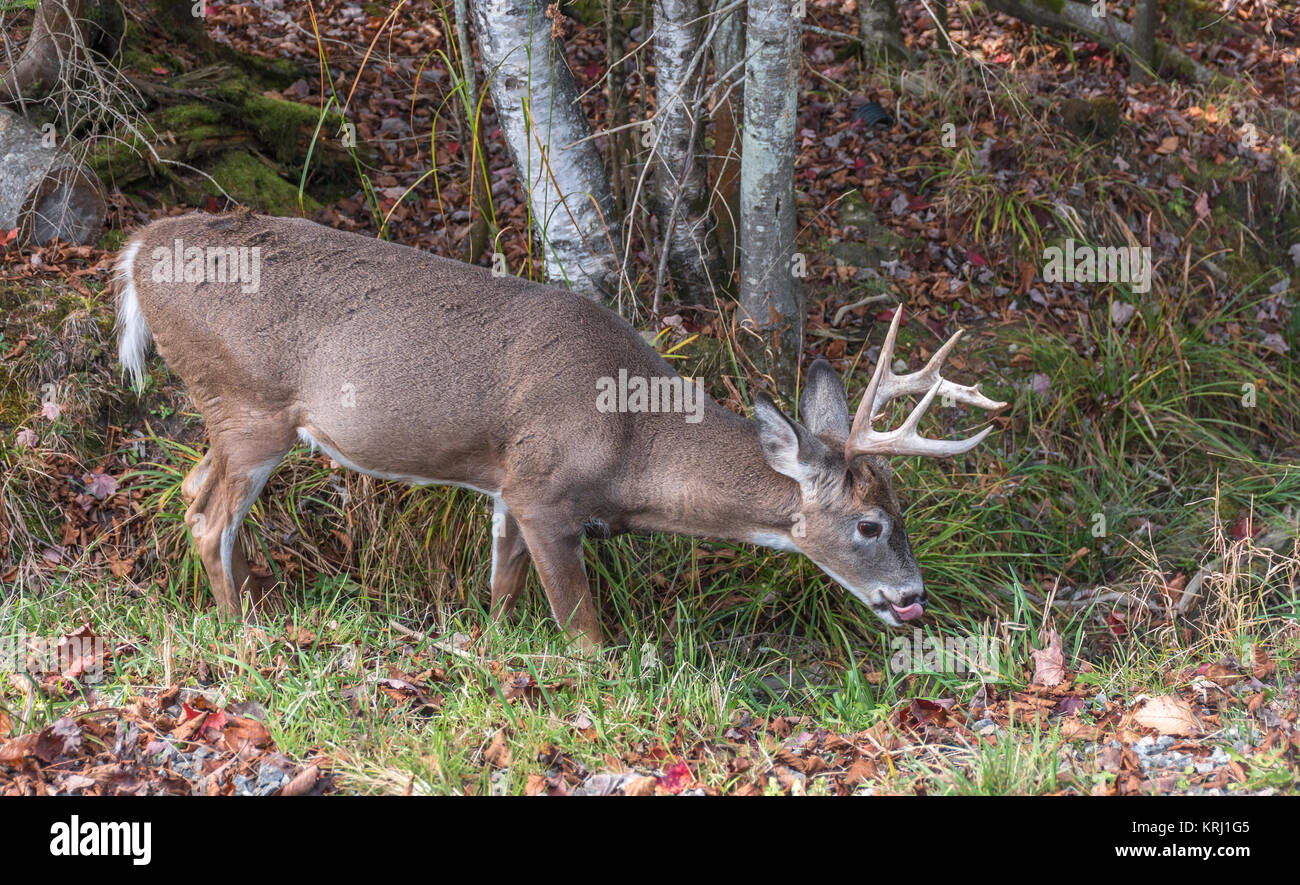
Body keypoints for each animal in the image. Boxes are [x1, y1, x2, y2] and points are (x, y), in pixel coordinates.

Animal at [114, 211, 1006, 653]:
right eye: (871, 523)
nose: (914, 599)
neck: (636, 443)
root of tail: (136, 248)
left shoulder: (507, 486)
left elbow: (502, 594)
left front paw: (492, 652)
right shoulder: (544, 493)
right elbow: (584, 635)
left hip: (229, 414)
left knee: (190, 490)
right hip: (250, 404)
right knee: (209, 516)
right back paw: (246, 629)